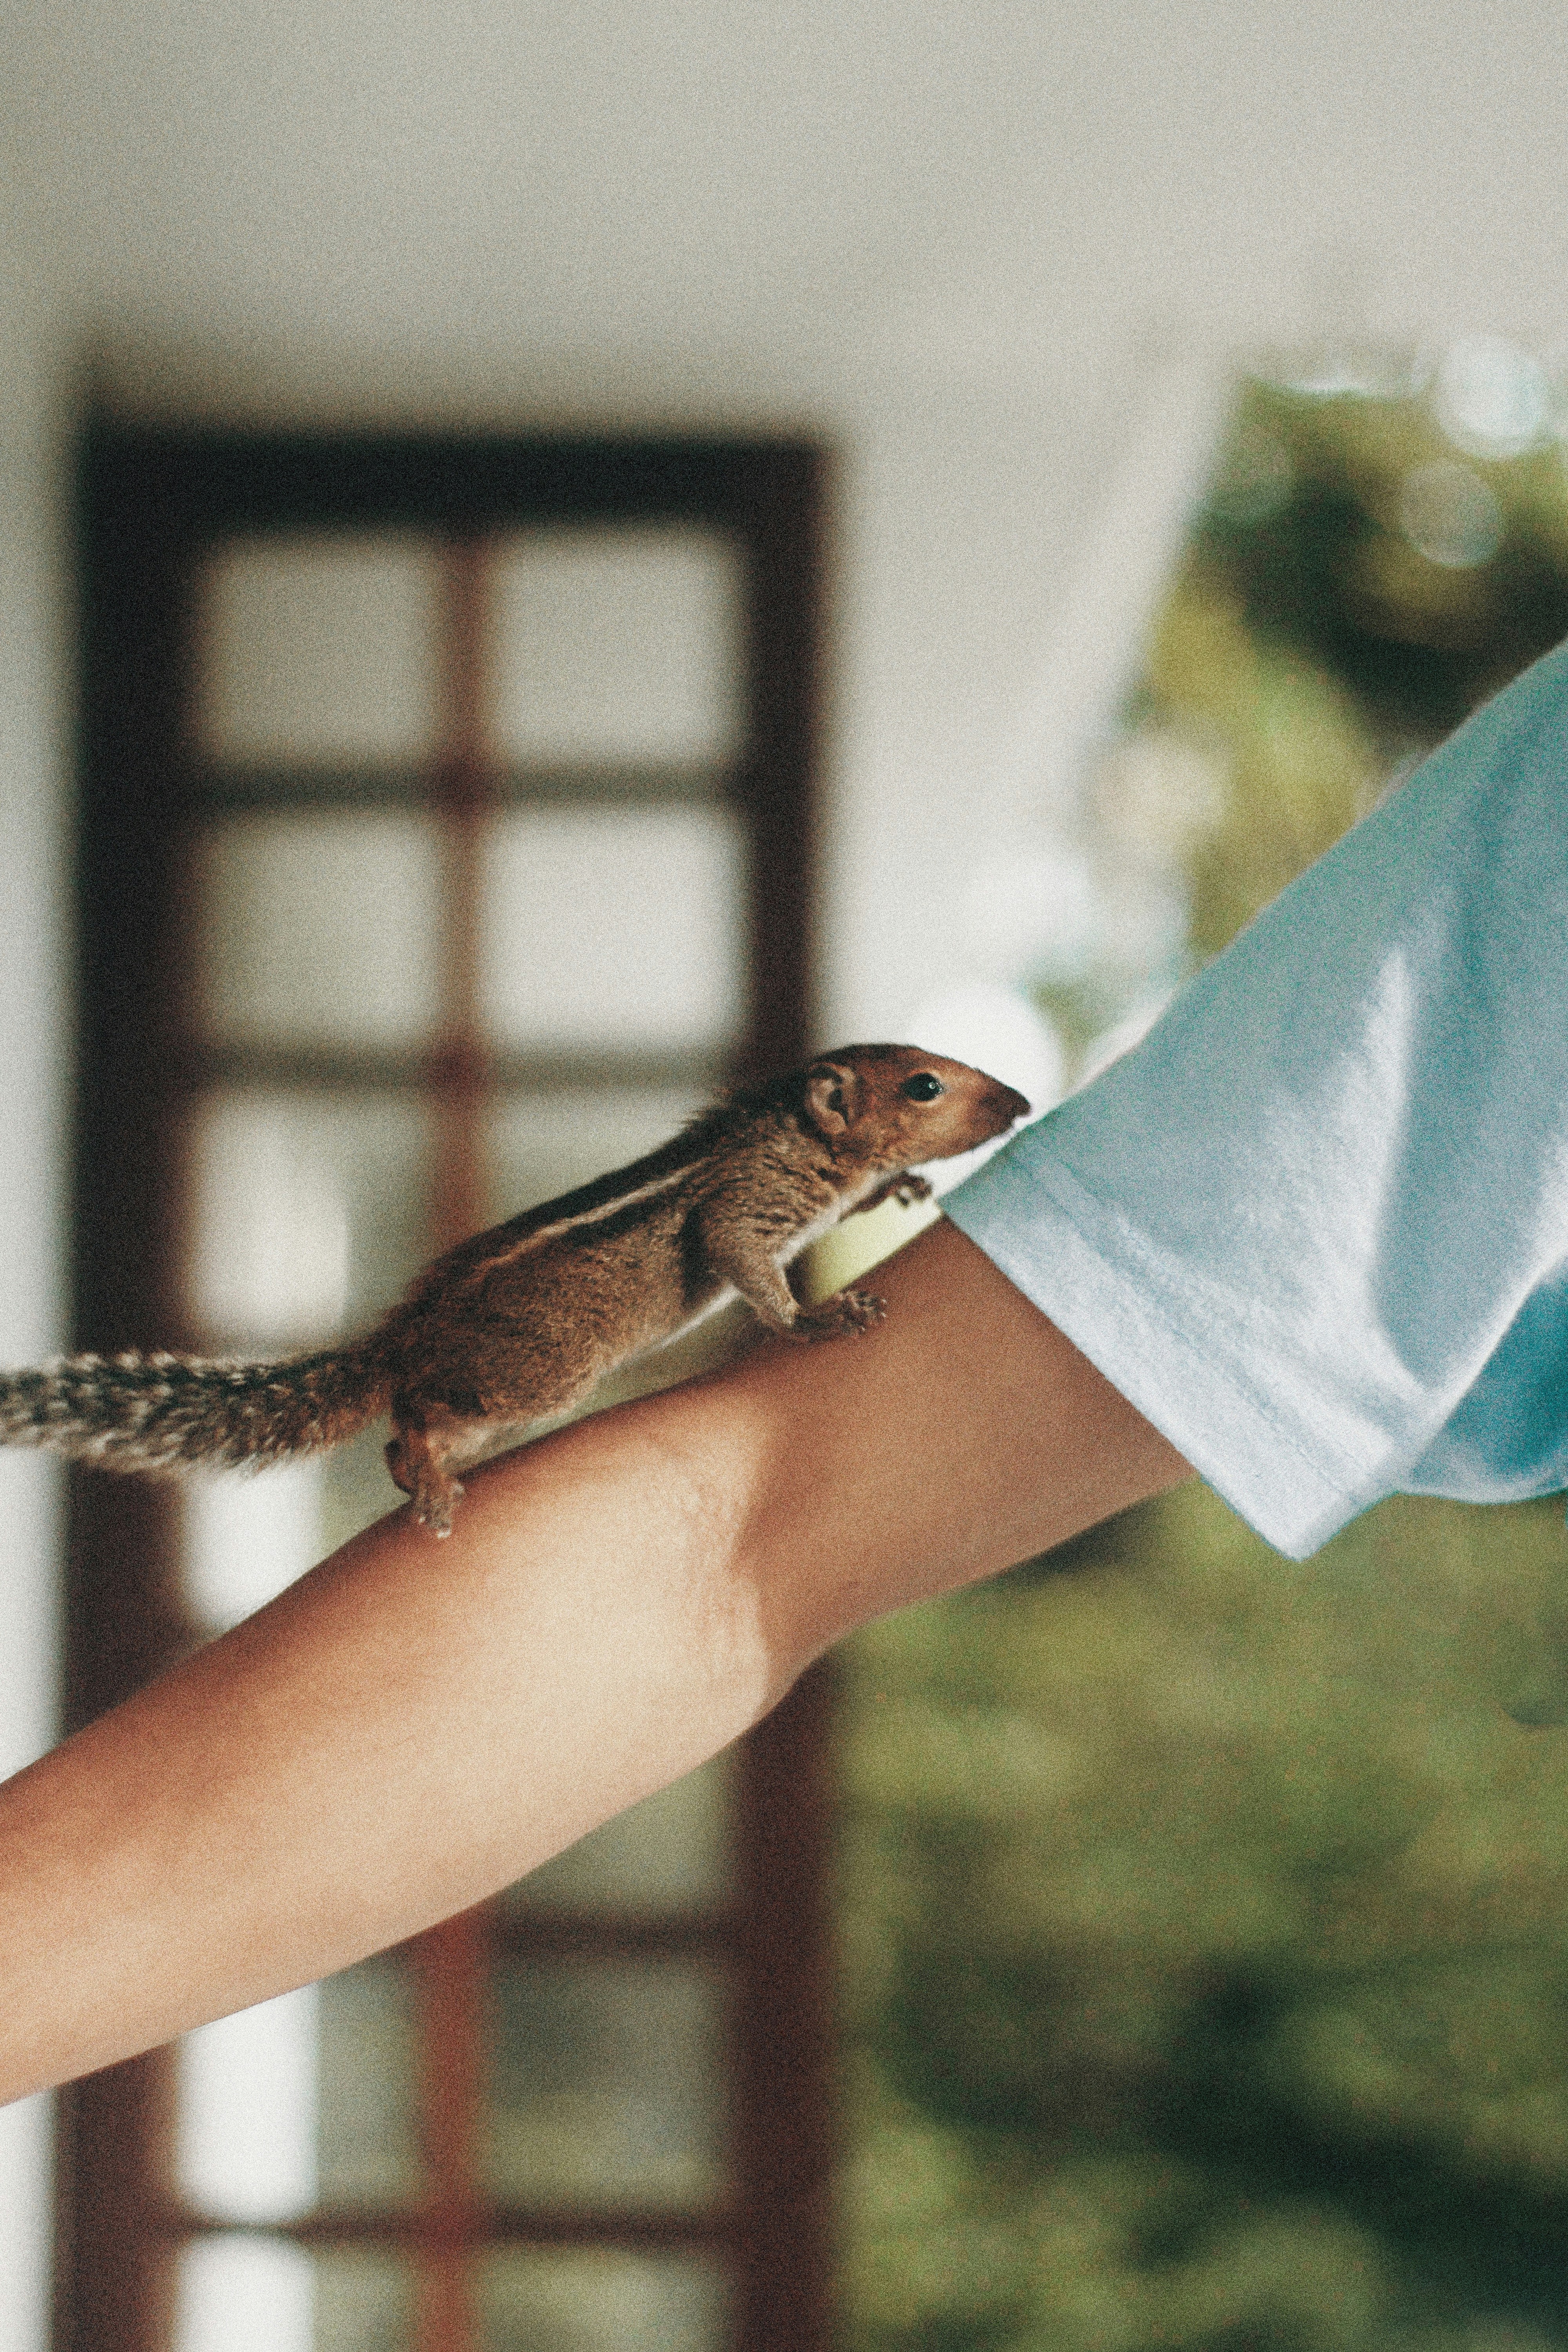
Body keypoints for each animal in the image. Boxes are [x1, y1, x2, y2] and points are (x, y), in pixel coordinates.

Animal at [0, 1045, 1029, 1536]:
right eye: (924, 1084)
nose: (1019, 1104)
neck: (788, 1129)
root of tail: (403, 1335)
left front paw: (903, 1189)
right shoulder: (744, 1206)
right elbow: (745, 1265)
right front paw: (816, 1318)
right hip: (539, 1372)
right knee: (412, 1420)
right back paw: (427, 1478)